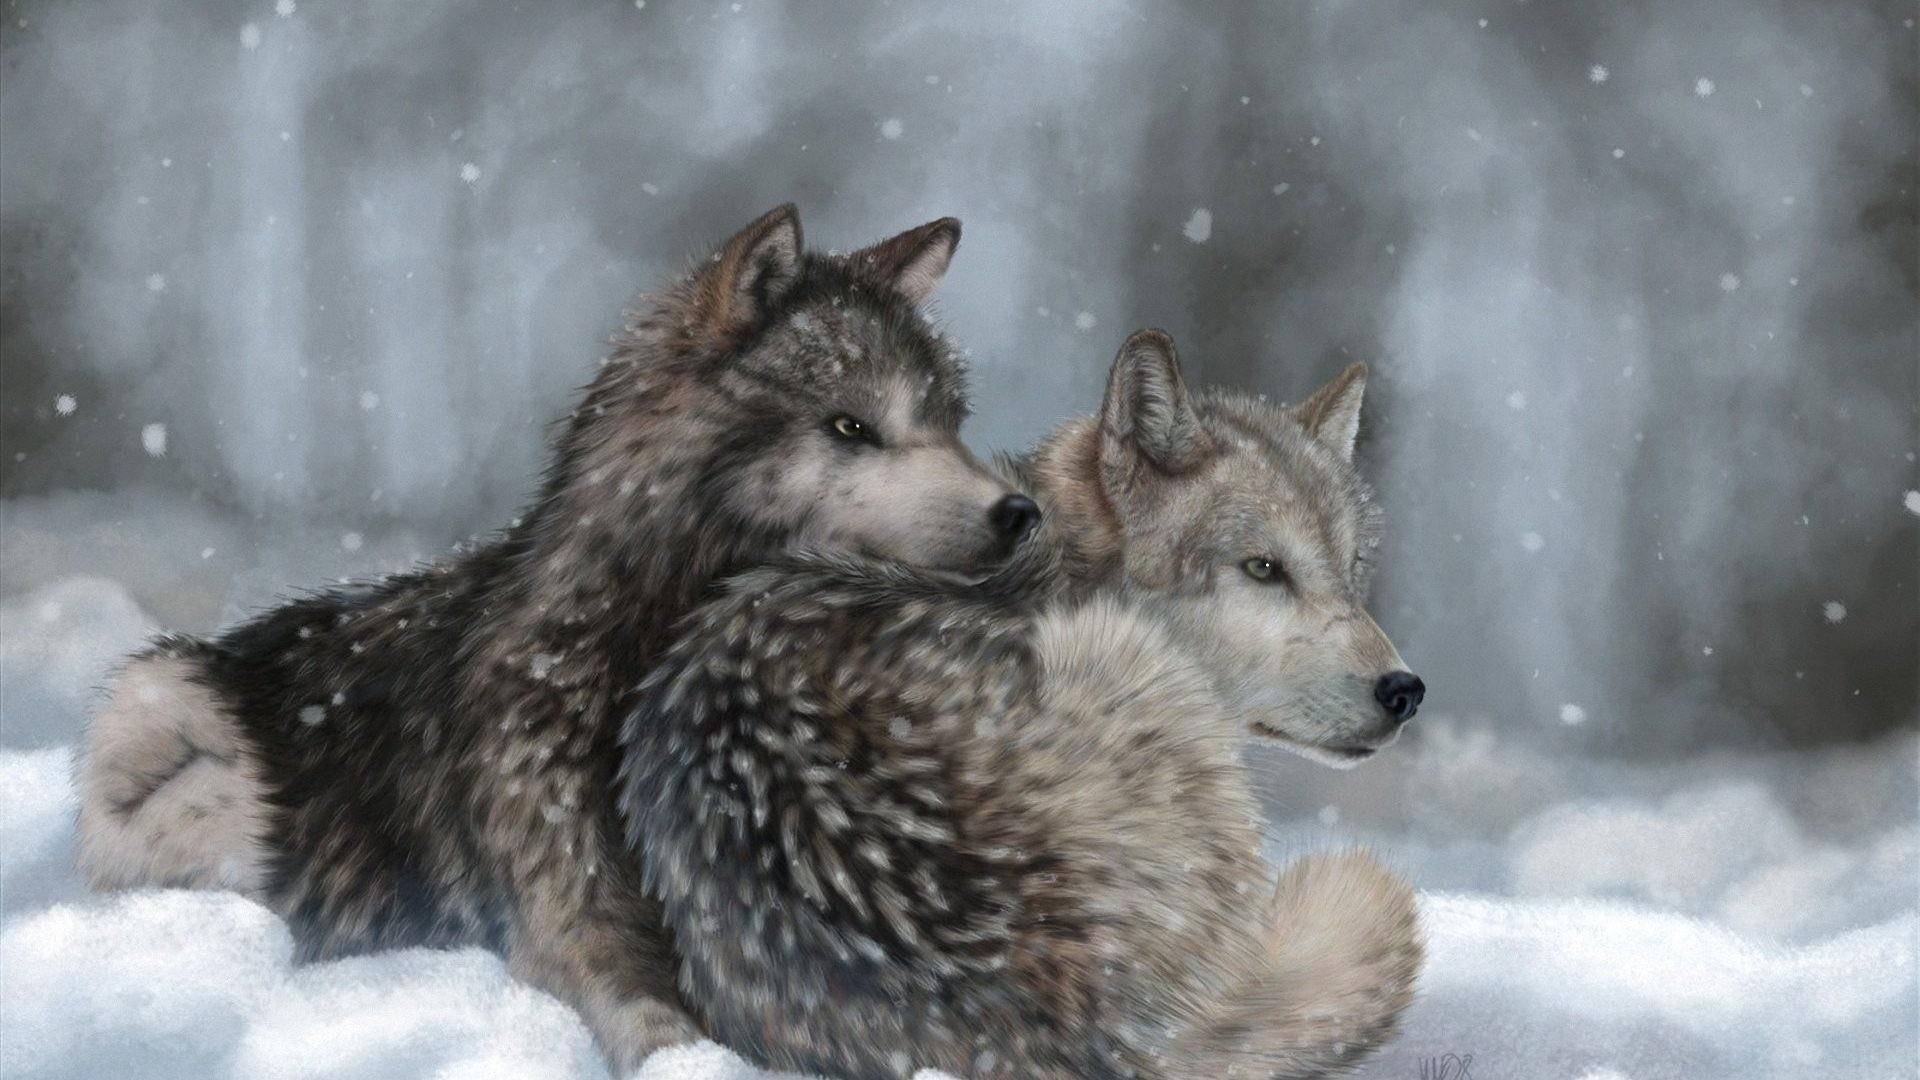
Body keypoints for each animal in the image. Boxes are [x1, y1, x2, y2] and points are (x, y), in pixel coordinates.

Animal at [75, 204, 1041, 1068]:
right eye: (850, 426)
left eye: (949, 423)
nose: (1021, 513)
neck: (637, 651)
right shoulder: (569, 935)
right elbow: (662, 1035)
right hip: (158, 708)